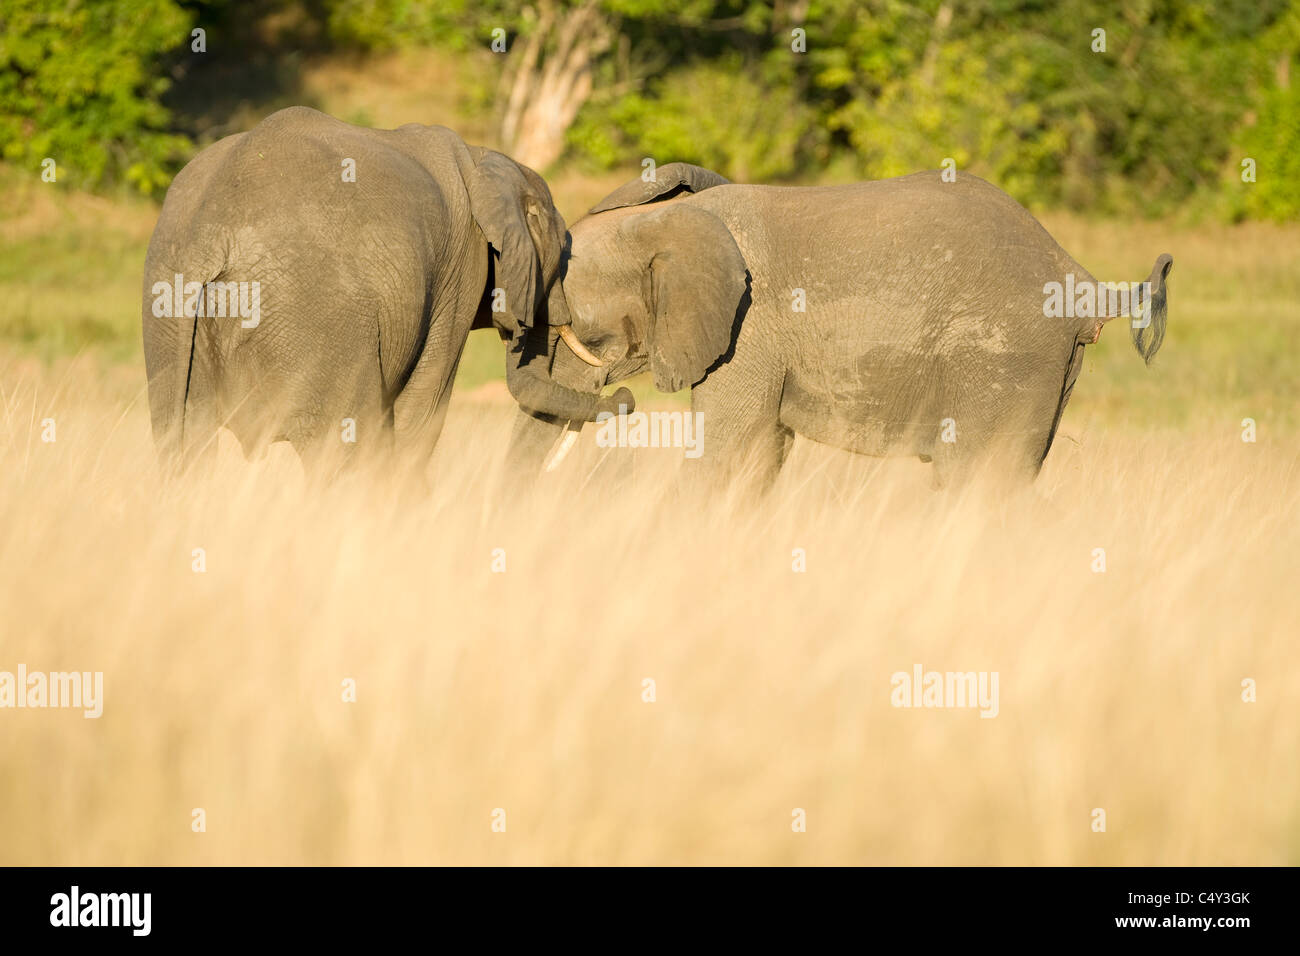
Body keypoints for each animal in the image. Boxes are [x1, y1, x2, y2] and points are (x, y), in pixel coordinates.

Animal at [142, 106, 632, 475]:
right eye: (563, 253)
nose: (624, 397)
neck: (485, 162)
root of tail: (210, 231)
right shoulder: (461, 266)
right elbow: (424, 403)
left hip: (167, 315)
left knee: (181, 442)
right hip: (317, 323)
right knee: (339, 448)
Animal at [508, 163, 1172, 491]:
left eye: (582, 334)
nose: (623, 401)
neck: (666, 220)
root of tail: (1081, 277)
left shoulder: (750, 330)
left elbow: (727, 450)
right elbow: (760, 456)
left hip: (1004, 357)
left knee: (976, 479)